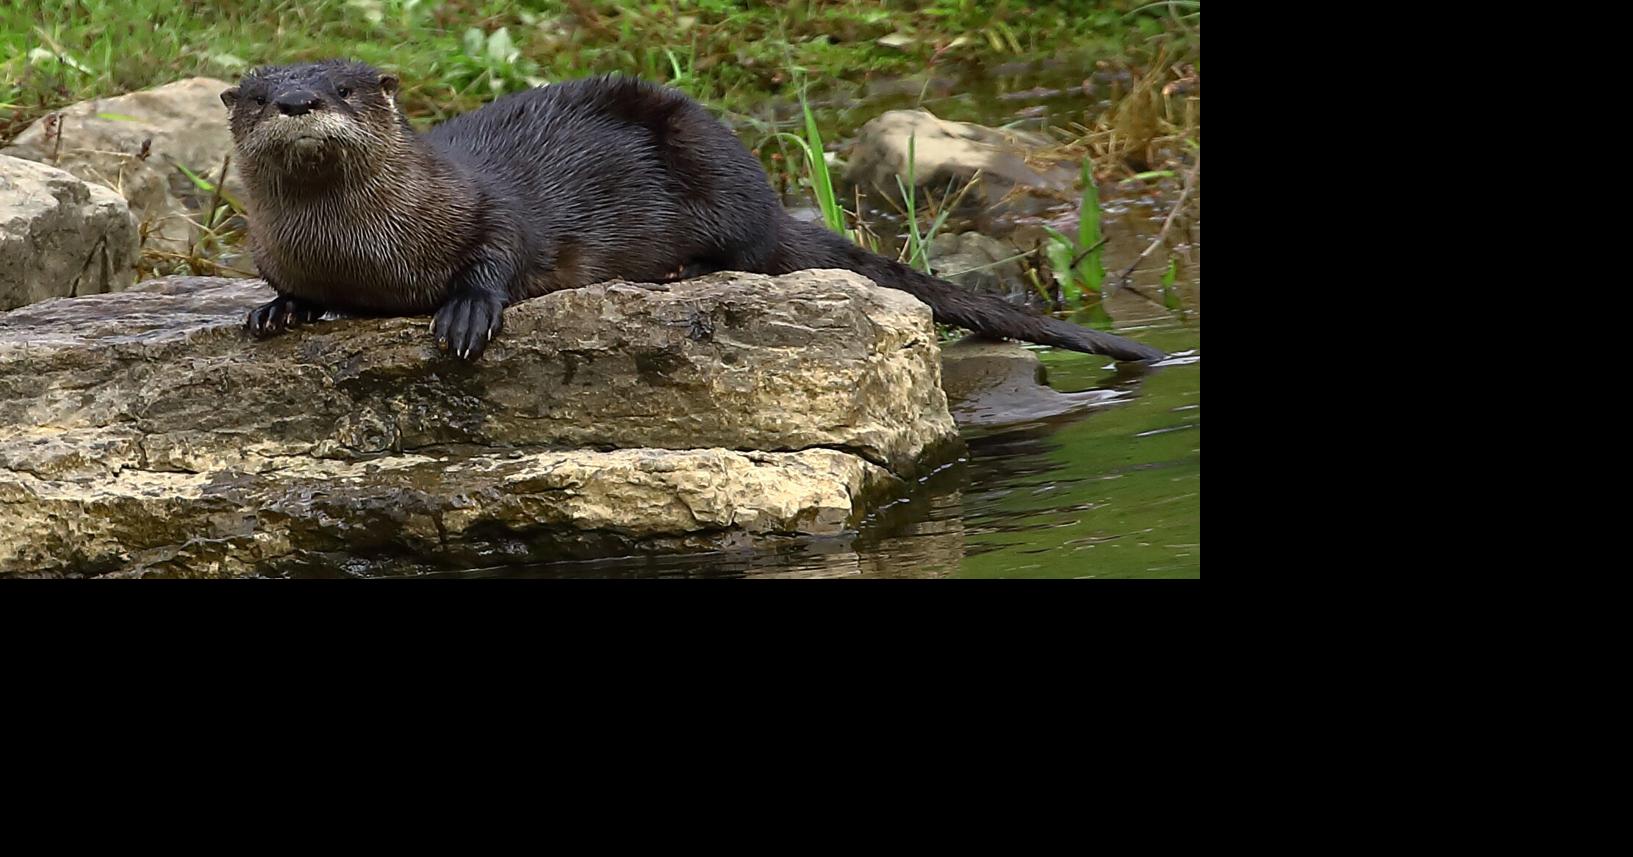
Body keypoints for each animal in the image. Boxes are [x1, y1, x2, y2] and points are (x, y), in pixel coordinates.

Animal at [222, 59, 1165, 362]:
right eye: (261, 95)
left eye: (345, 88)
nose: (299, 102)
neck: (359, 253)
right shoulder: (278, 248)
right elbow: (282, 282)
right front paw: (277, 308)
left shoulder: (486, 207)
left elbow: (501, 251)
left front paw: (463, 314)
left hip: (707, 157)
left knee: (753, 250)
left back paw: (685, 268)